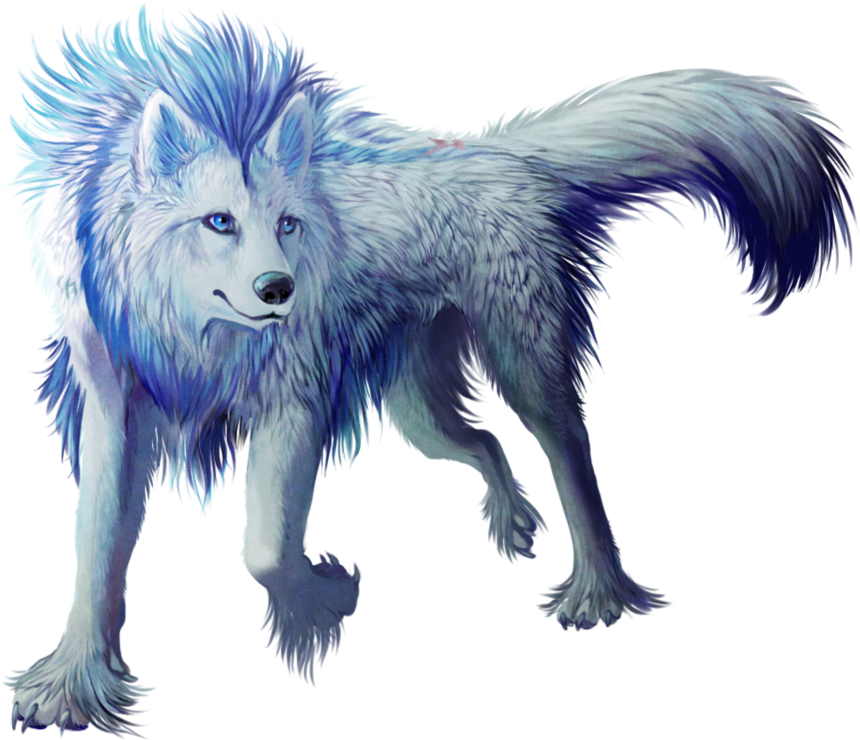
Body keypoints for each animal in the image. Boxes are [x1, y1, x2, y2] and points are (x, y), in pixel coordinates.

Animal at [6, 4, 855, 737]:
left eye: (287, 224)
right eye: (219, 221)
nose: (281, 290)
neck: (189, 332)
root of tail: (500, 149)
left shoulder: (291, 404)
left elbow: (266, 550)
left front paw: (319, 614)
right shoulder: (117, 412)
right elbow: (94, 552)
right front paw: (71, 693)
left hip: (524, 373)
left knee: (572, 455)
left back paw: (596, 596)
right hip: (419, 416)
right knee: (487, 445)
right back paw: (512, 521)